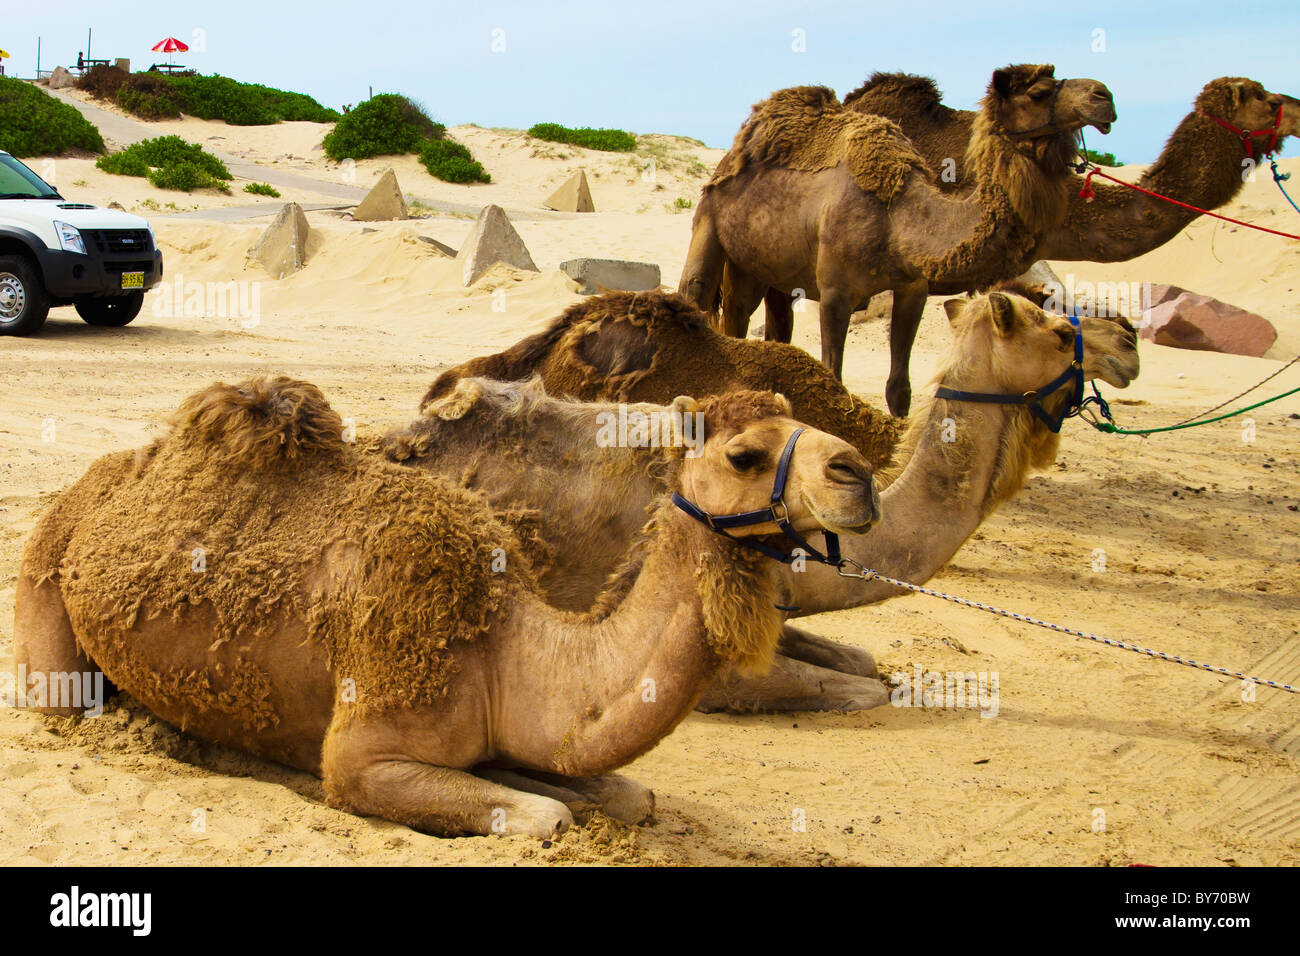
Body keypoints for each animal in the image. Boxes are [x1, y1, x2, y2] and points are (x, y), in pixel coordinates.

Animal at [14, 377, 879, 837]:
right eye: (744, 454)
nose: (857, 473)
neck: (501, 643)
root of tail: (85, 486)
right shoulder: (364, 755)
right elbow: (546, 817)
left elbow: (627, 795)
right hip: (45, 585)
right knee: (60, 700)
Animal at [677, 65, 1117, 417]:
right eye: (1039, 91)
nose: (1105, 96)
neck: (900, 220)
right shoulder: (835, 292)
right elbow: (833, 378)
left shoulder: (913, 288)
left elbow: (899, 388)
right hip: (709, 220)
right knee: (698, 290)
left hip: (758, 267)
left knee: (749, 320)